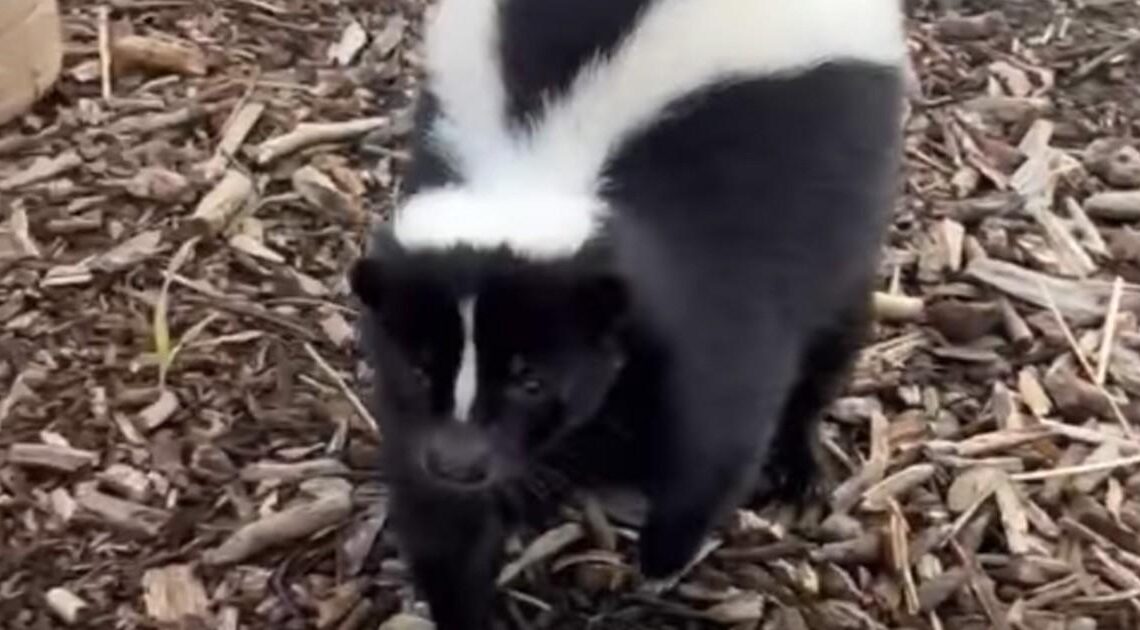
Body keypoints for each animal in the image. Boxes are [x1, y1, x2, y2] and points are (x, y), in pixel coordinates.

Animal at [348, 1, 907, 624]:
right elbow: (436, 508)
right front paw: (465, 605)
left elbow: (716, 426)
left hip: (850, 195)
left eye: (531, 379)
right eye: (418, 368)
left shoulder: (709, 282)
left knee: (833, 332)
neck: (533, 165)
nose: (459, 462)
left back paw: (798, 464)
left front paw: (664, 556)